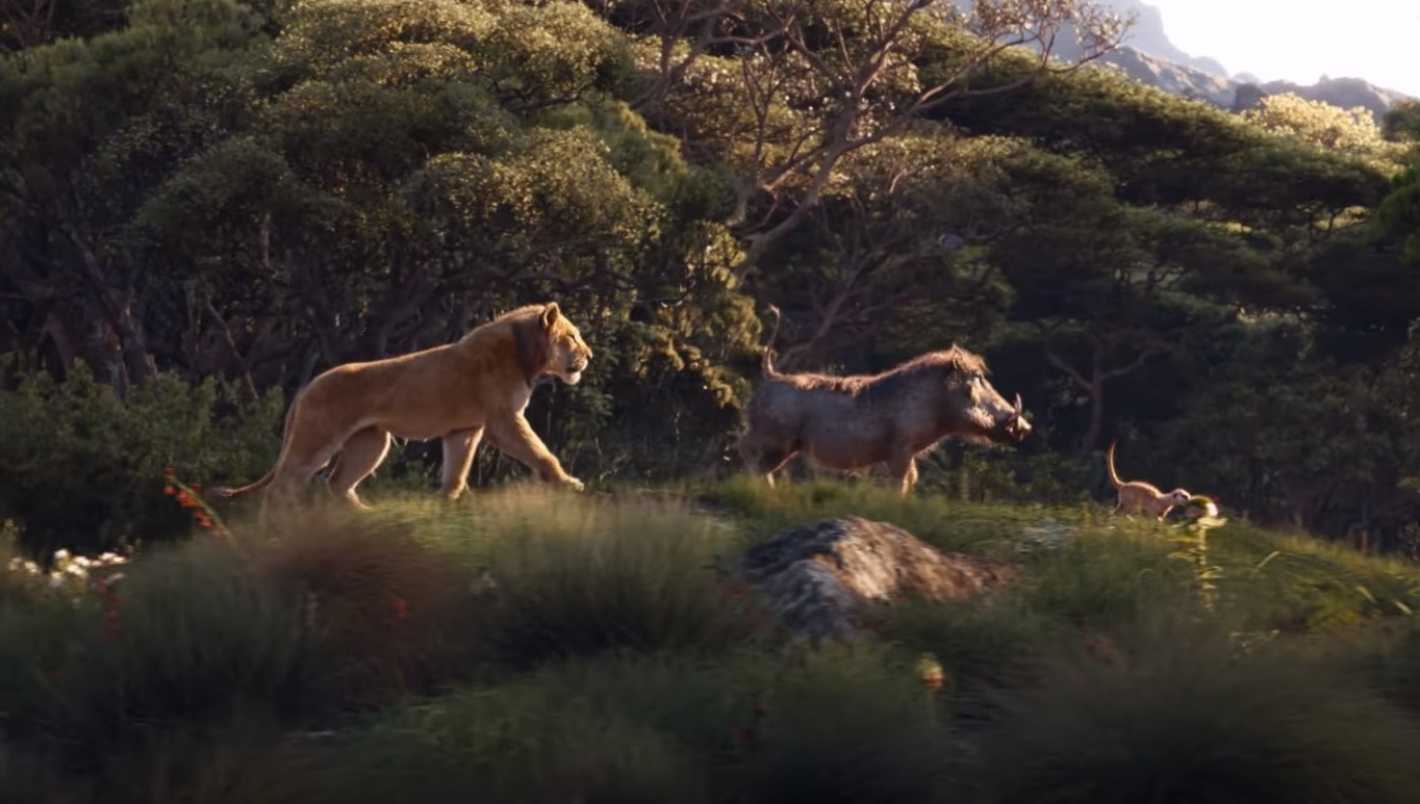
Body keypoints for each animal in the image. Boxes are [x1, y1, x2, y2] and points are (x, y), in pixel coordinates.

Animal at [213, 302, 592, 517]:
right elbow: (541, 453)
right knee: (283, 487)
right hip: (317, 439)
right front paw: (569, 483)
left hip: (370, 442)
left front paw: (448, 506)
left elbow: (455, 472)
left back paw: (367, 517)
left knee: (337, 484)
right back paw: (278, 531)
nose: (589, 355)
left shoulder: (465, 429)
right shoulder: (503, 419)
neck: (526, 354)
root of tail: (308, 386)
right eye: (572, 336)